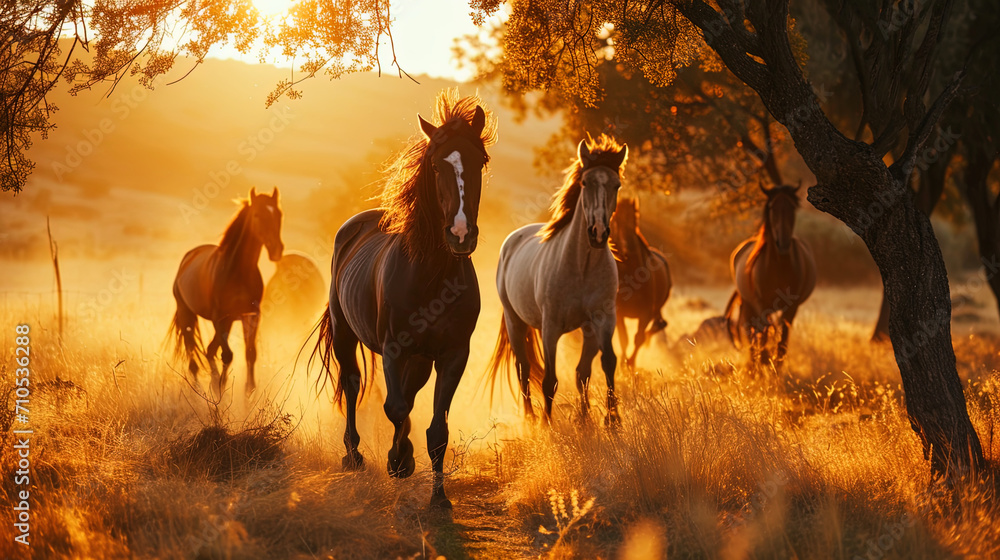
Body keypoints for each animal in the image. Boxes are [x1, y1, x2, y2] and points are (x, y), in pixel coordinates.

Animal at [170, 187, 284, 398]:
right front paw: (219, 390)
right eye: (257, 215)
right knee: (193, 357)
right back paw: (198, 391)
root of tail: (188, 257)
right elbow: (228, 355)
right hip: (187, 314)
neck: (238, 270)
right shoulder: (219, 317)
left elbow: (250, 353)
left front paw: (248, 393)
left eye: (279, 214)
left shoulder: (250, 316)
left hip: (229, 321)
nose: (276, 250)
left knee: (209, 350)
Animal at [310, 91, 496, 508]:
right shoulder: (395, 347)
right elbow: (394, 407)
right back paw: (353, 456)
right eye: (437, 164)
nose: (461, 235)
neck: (431, 277)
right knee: (352, 384)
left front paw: (438, 499)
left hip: (421, 359)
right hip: (346, 336)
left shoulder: (452, 354)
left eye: (480, 161)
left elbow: (437, 429)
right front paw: (399, 461)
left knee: (408, 396)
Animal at [487, 135, 627, 425]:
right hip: (516, 322)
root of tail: (512, 241)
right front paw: (547, 424)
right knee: (523, 368)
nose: (598, 233)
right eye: (585, 183)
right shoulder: (550, 327)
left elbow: (602, 365)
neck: (582, 266)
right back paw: (530, 418)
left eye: (616, 184)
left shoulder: (602, 320)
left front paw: (610, 420)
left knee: (580, 371)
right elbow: (550, 379)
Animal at [610, 197, 672, 369]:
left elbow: (638, 338)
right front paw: (623, 363)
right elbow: (624, 339)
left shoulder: (646, 313)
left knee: (655, 328)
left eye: (634, 222)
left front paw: (630, 364)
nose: (626, 251)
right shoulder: (619, 313)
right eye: (615, 222)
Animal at [724, 184, 816, 366]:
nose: (783, 243)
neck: (779, 265)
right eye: (773, 208)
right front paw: (765, 358)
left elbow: (783, 339)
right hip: (748, 303)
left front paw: (775, 363)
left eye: (792, 207)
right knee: (750, 329)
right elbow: (764, 331)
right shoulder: (761, 303)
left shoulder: (791, 306)